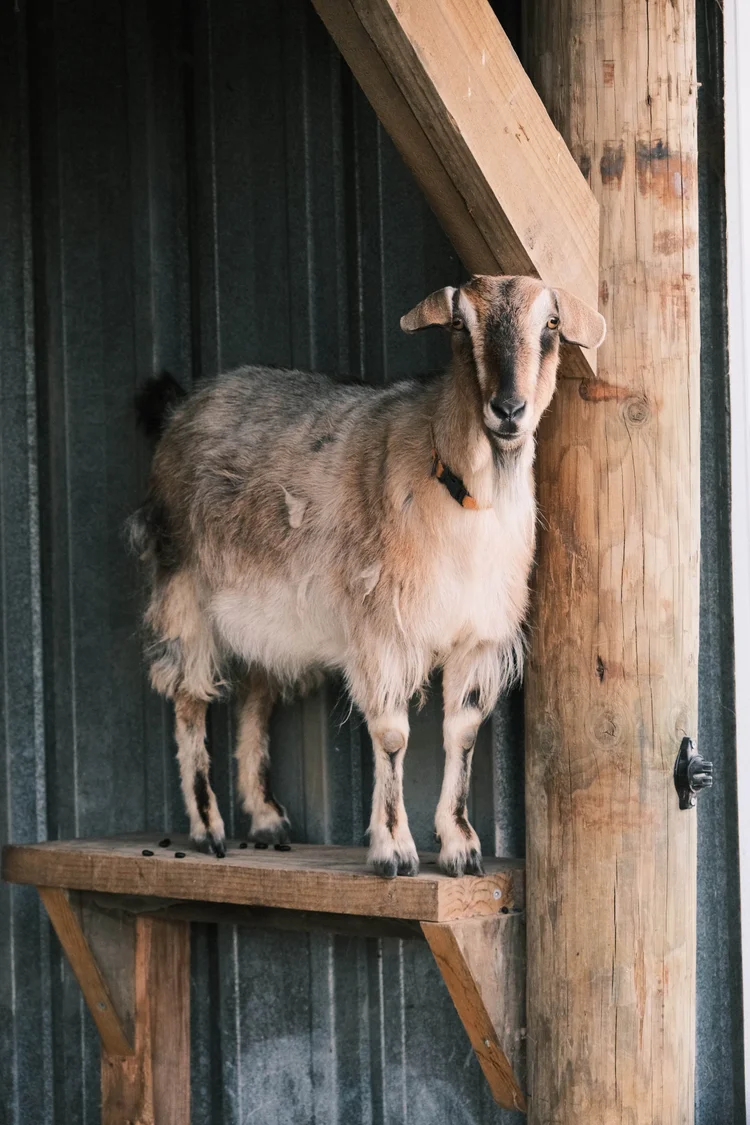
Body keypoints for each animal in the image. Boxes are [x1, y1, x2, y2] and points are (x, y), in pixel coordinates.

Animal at [129, 275, 605, 877]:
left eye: (551, 325)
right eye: (459, 325)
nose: (508, 409)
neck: (461, 492)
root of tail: (182, 408)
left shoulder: (476, 635)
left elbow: (463, 732)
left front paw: (461, 846)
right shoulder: (383, 631)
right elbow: (393, 735)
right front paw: (394, 849)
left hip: (265, 614)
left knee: (256, 695)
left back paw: (265, 820)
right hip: (182, 585)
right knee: (190, 698)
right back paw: (208, 828)